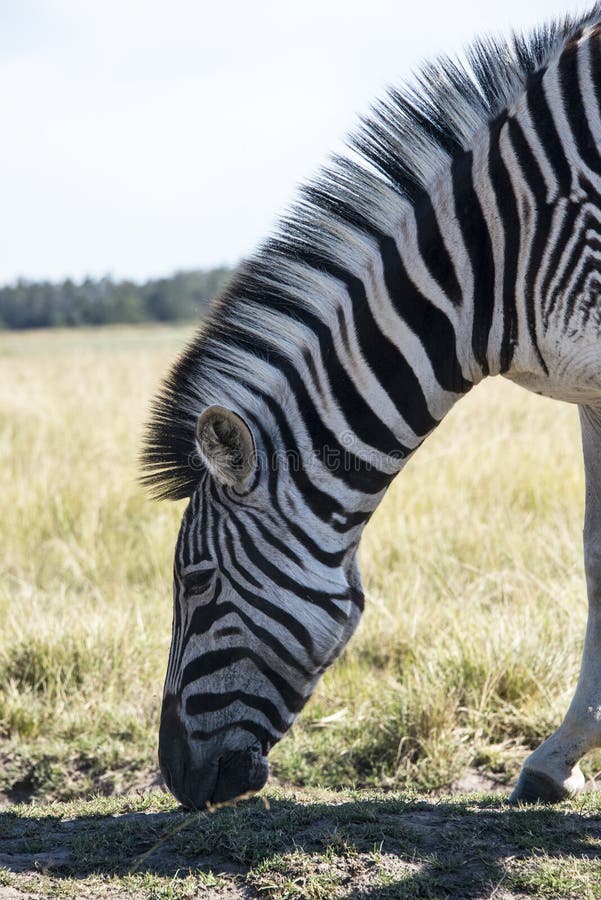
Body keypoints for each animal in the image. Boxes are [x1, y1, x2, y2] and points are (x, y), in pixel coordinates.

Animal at [143, 6, 601, 809]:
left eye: (196, 583)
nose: (176, 776)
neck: (491, 262)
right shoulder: (588, 385)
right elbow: (597, 556)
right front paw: (559, 759)